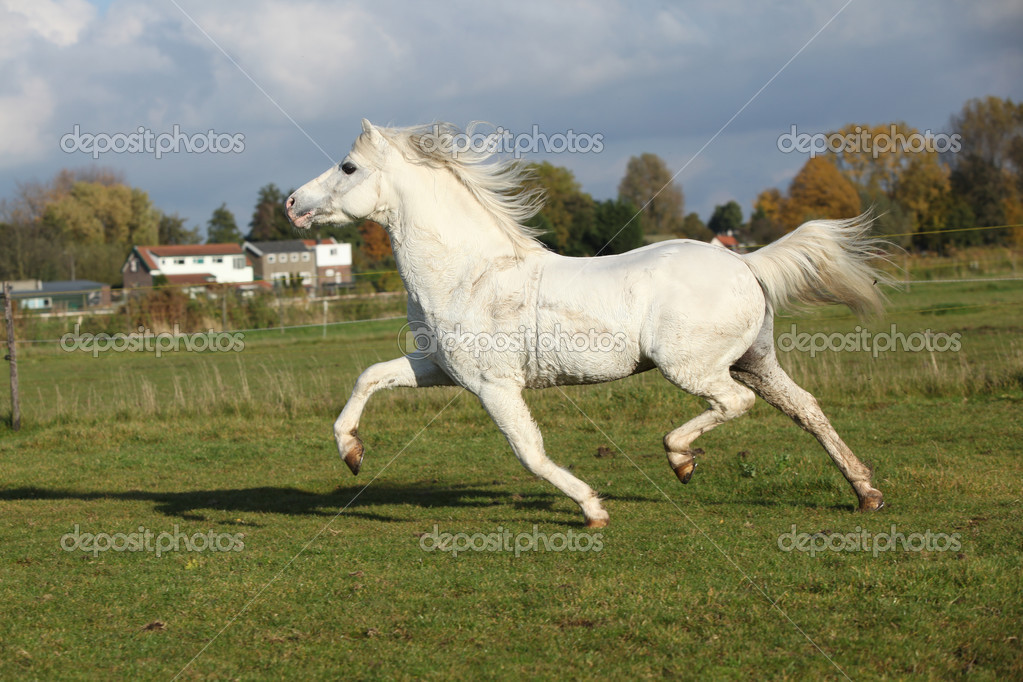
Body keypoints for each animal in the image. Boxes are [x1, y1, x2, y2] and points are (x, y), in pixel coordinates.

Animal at [285, 119, 890, 527]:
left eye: (348, 167)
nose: (292, 202)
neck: (469, 274)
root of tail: (745, 261)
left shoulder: (494, 386)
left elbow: (529, 452)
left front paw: (592, 508)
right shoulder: (439, 368)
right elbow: (368, 376)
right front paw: (352, 454)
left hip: (693, 367)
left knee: (733, 404)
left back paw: (681, 459)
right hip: (754, 361)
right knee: (807, 408)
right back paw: (866, 493)